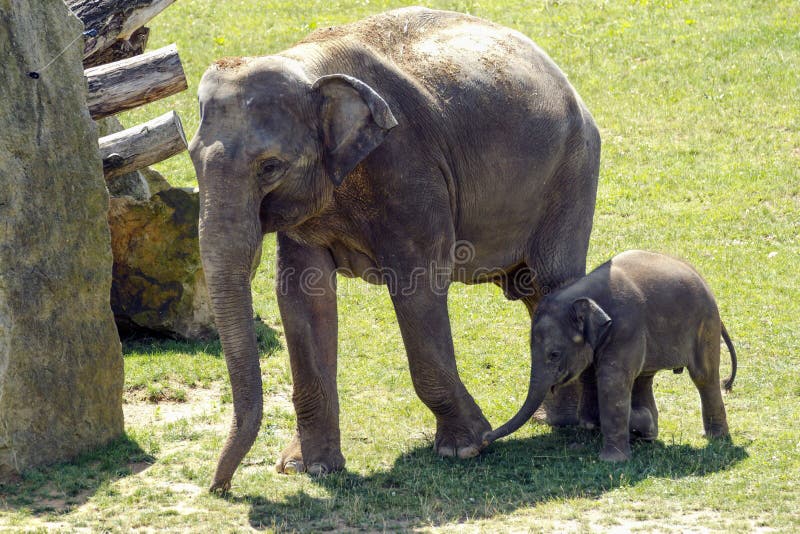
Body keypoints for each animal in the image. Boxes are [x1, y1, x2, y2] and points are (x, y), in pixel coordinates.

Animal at [188, 6, 601, 491]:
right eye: (191, 157)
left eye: (270, 167)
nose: (219, 489)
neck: (310, 65)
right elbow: (302, 297)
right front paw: (307, 467)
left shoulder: (410, 171)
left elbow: (416, 288)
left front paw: (468, 446)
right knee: (533, 292)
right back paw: (549, 419)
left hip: (573, 172)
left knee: (554, 281)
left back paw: (571, 425)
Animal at [484, 250, 737, 461]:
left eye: (554, 354)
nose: (485, 437)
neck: (582, 294)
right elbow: (590, 379)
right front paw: (637, 427)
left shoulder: (625, 327)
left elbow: (611, 383)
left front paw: (614, 459)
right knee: (644, 378)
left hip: (705, 324)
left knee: (704, 377)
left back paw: (713, 437)